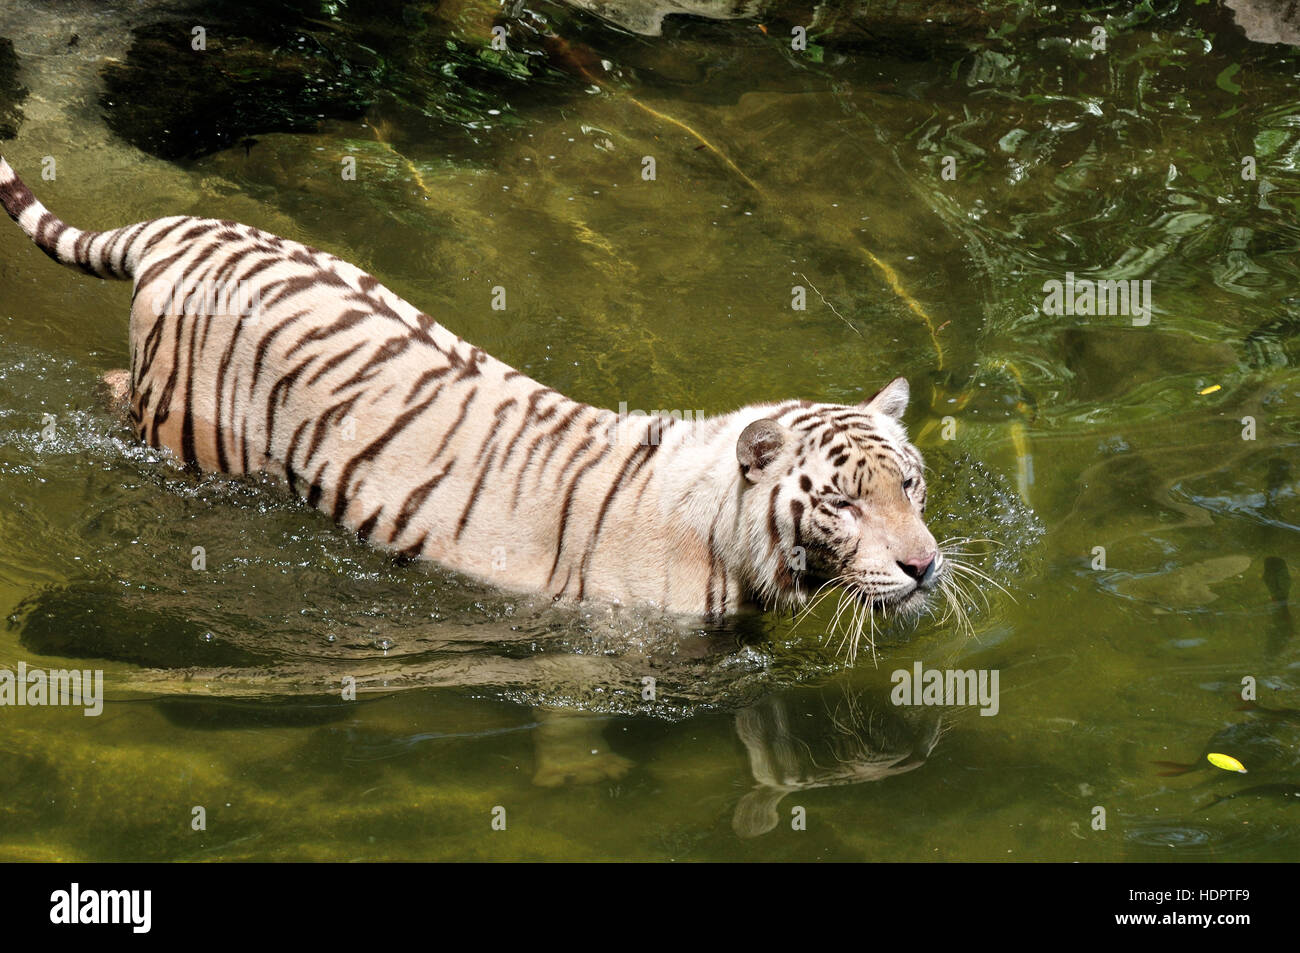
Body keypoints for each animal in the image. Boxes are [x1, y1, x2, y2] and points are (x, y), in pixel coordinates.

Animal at [0, 155, 945, 657]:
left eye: (910, 485)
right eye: (843, 502)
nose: (925, 566)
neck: (728, 534)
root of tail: (181, 228)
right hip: (186, 431)